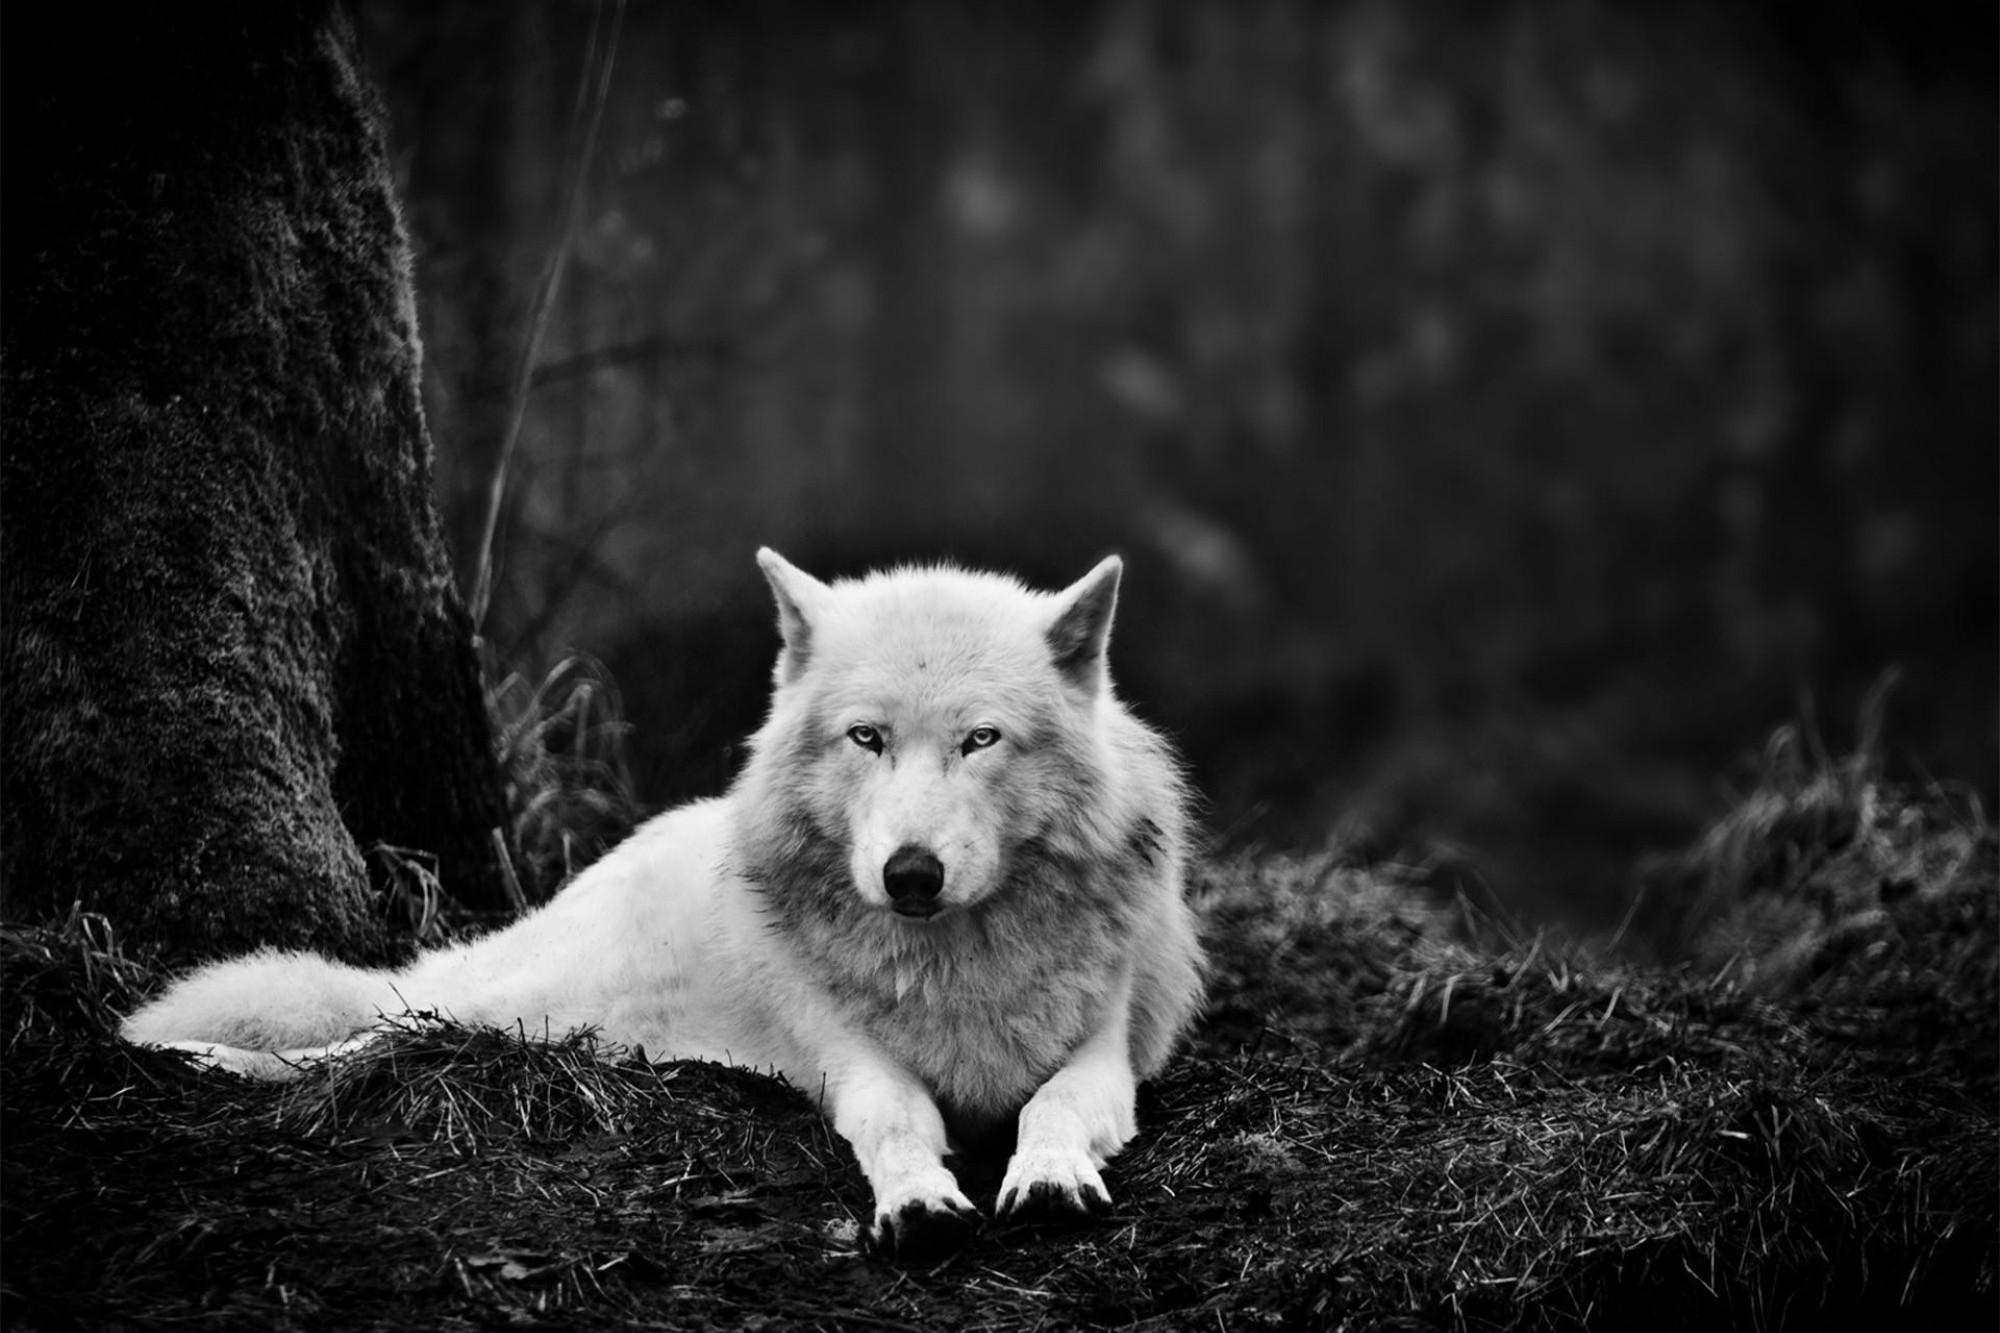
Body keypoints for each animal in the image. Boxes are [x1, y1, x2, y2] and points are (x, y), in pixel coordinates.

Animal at [123, 549, 1205, 1259]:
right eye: (866, 738)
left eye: (981, 740)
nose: (910, 874)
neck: (952, 962)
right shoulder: (852, 1060)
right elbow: (897, 1120)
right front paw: (916, 1201)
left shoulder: (1105, 1053)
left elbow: (1054, 1103)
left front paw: (1047, 1174)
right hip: (513, 1007)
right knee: (370, 1030)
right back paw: (187, 1052)